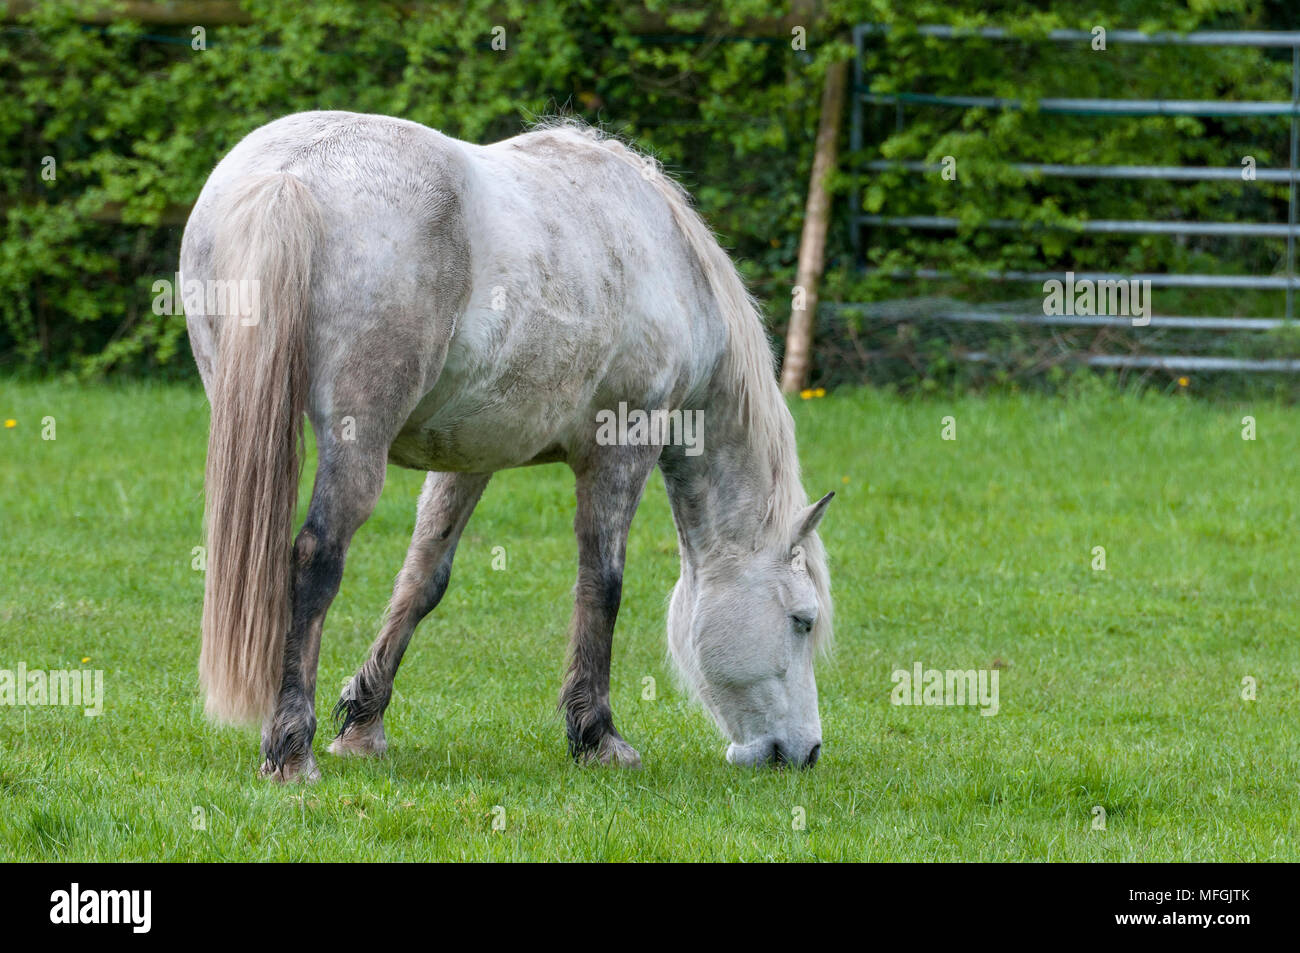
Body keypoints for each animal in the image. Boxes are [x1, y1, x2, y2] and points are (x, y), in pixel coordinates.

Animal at [179, 111, 833, 781]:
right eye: (802, 621)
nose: (805, 751)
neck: (665, 255)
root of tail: (289, 174)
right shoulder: (623, 448)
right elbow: (603, 582)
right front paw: (597, 736)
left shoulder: (468, 460)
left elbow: (423, 579)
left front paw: (364, 724)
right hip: (355, 445)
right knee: (316, 559)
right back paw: (292, 749)